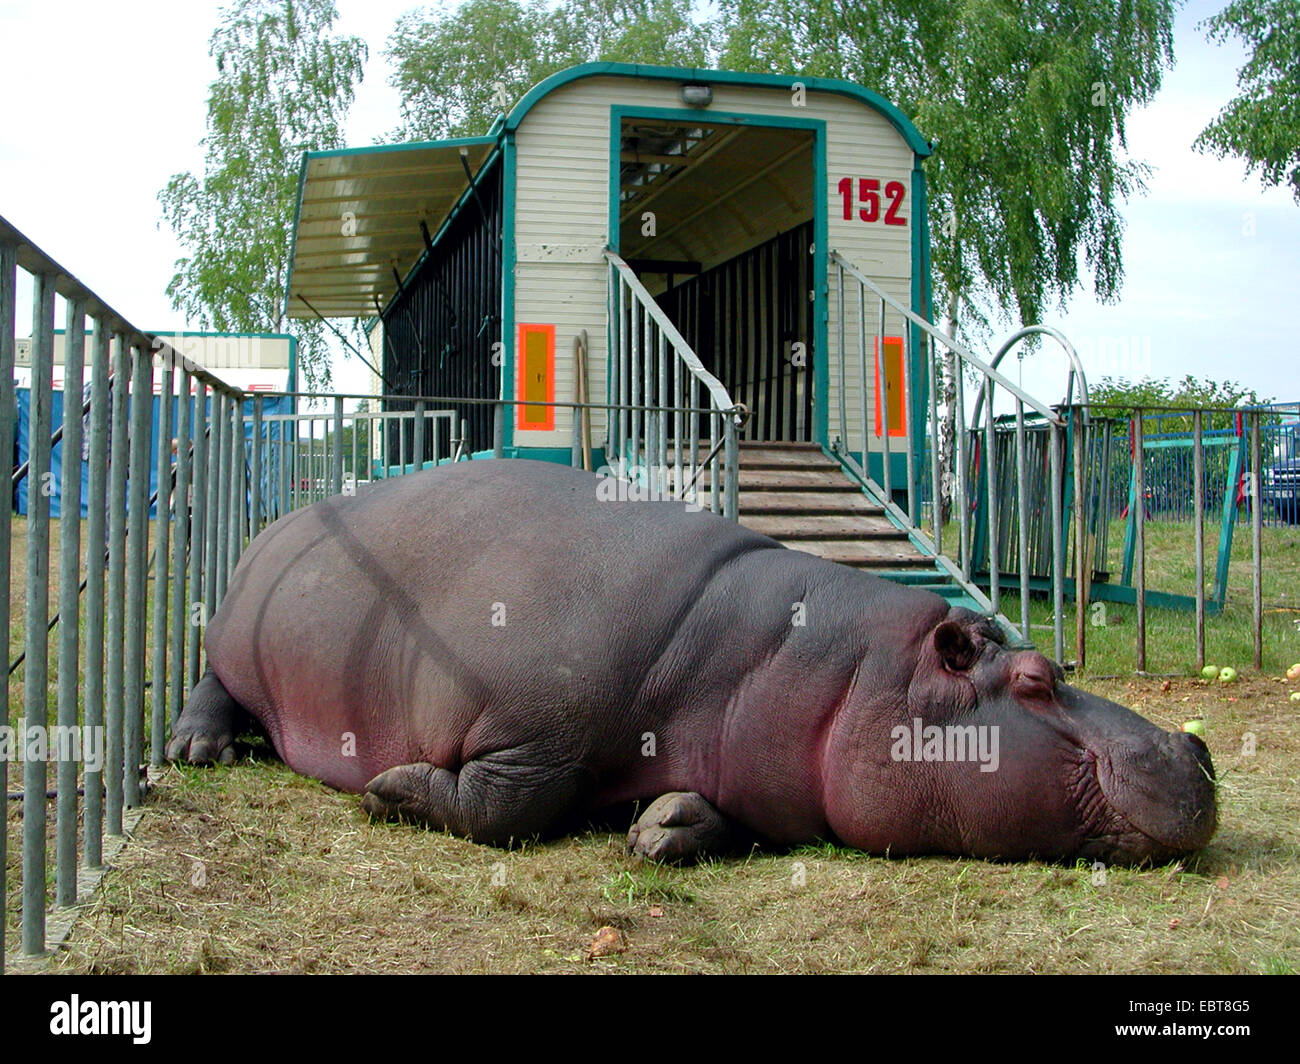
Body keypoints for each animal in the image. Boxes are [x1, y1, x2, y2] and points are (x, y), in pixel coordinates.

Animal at [167, 459, 1217, 865]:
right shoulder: (528, 729)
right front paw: (388, 789)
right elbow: (503, 805)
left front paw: (664, 825)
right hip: (237, 644)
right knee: (214, 686)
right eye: (1036, 682)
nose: (1195, 747)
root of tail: (277, 524)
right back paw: (196, 752)